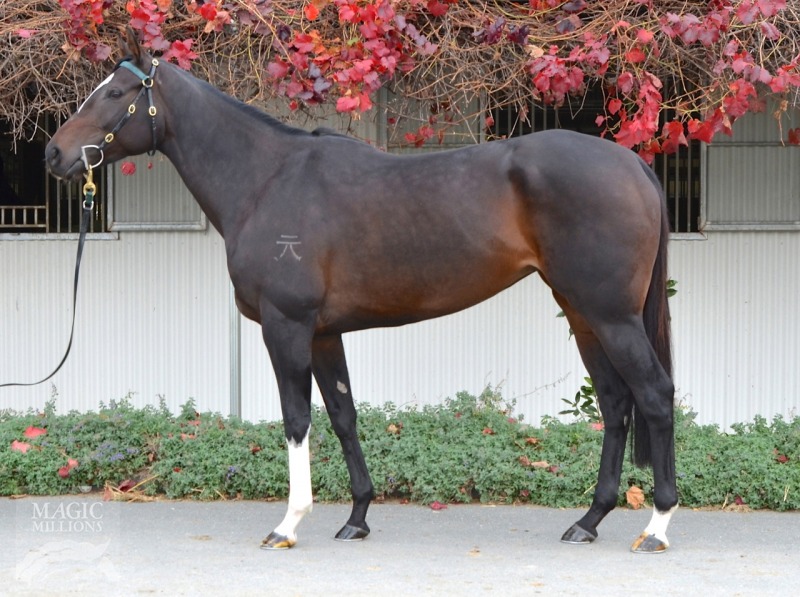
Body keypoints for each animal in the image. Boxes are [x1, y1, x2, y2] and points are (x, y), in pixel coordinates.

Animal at [46, 30, 677, 554]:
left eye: (116, 92)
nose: (54, 153)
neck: (266, 180)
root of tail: (634, 165)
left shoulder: (287, 327)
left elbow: (296, 418)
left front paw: (288, 523)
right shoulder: (325, 334)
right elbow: (344, 415)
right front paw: (356, 518)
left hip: (611, 316)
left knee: (654, 394)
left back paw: (657, 526)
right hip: (583, 314)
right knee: (616, 404)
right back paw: (588, 521)